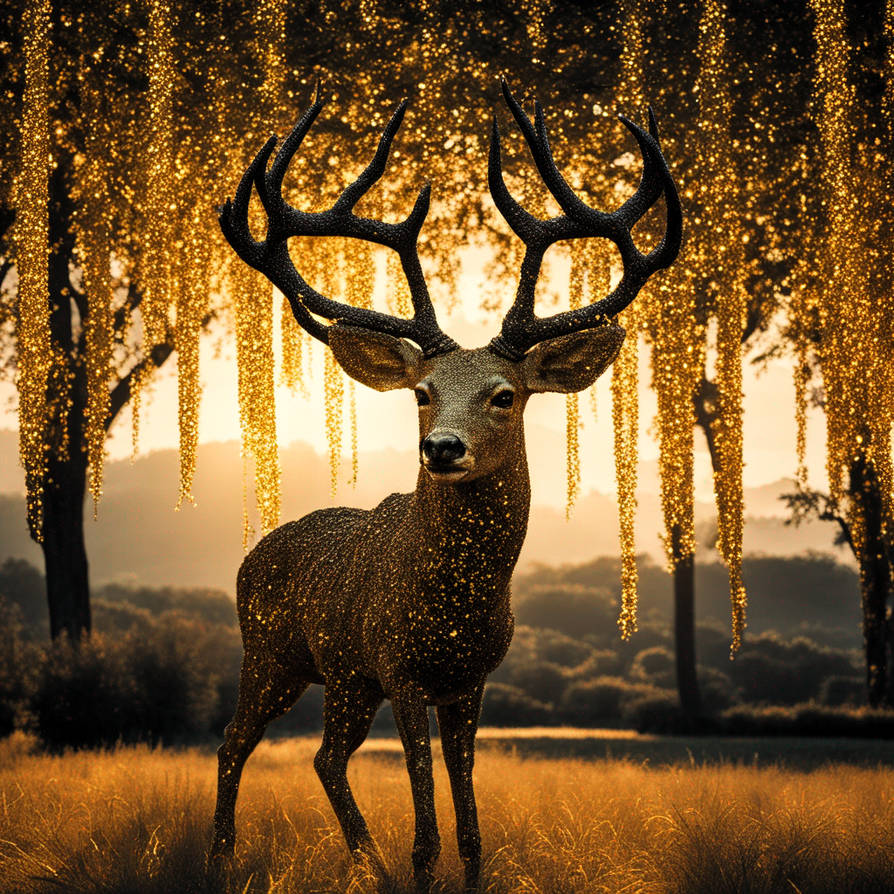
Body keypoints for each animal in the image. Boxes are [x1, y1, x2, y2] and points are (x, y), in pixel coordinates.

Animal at [210, 80, 681, 892]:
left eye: (504, 395)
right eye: (423, 392)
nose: (442, 448)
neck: (456, 610)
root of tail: (254, 551)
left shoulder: (470, 681)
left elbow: (467, 823)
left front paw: (466, 872)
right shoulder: (400, 668)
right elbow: (426, 826)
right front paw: (419, 869)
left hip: (342, 679)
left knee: (324, 757)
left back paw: (363, 863)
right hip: (271, 652)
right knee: (236, 742)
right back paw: (222, 856)